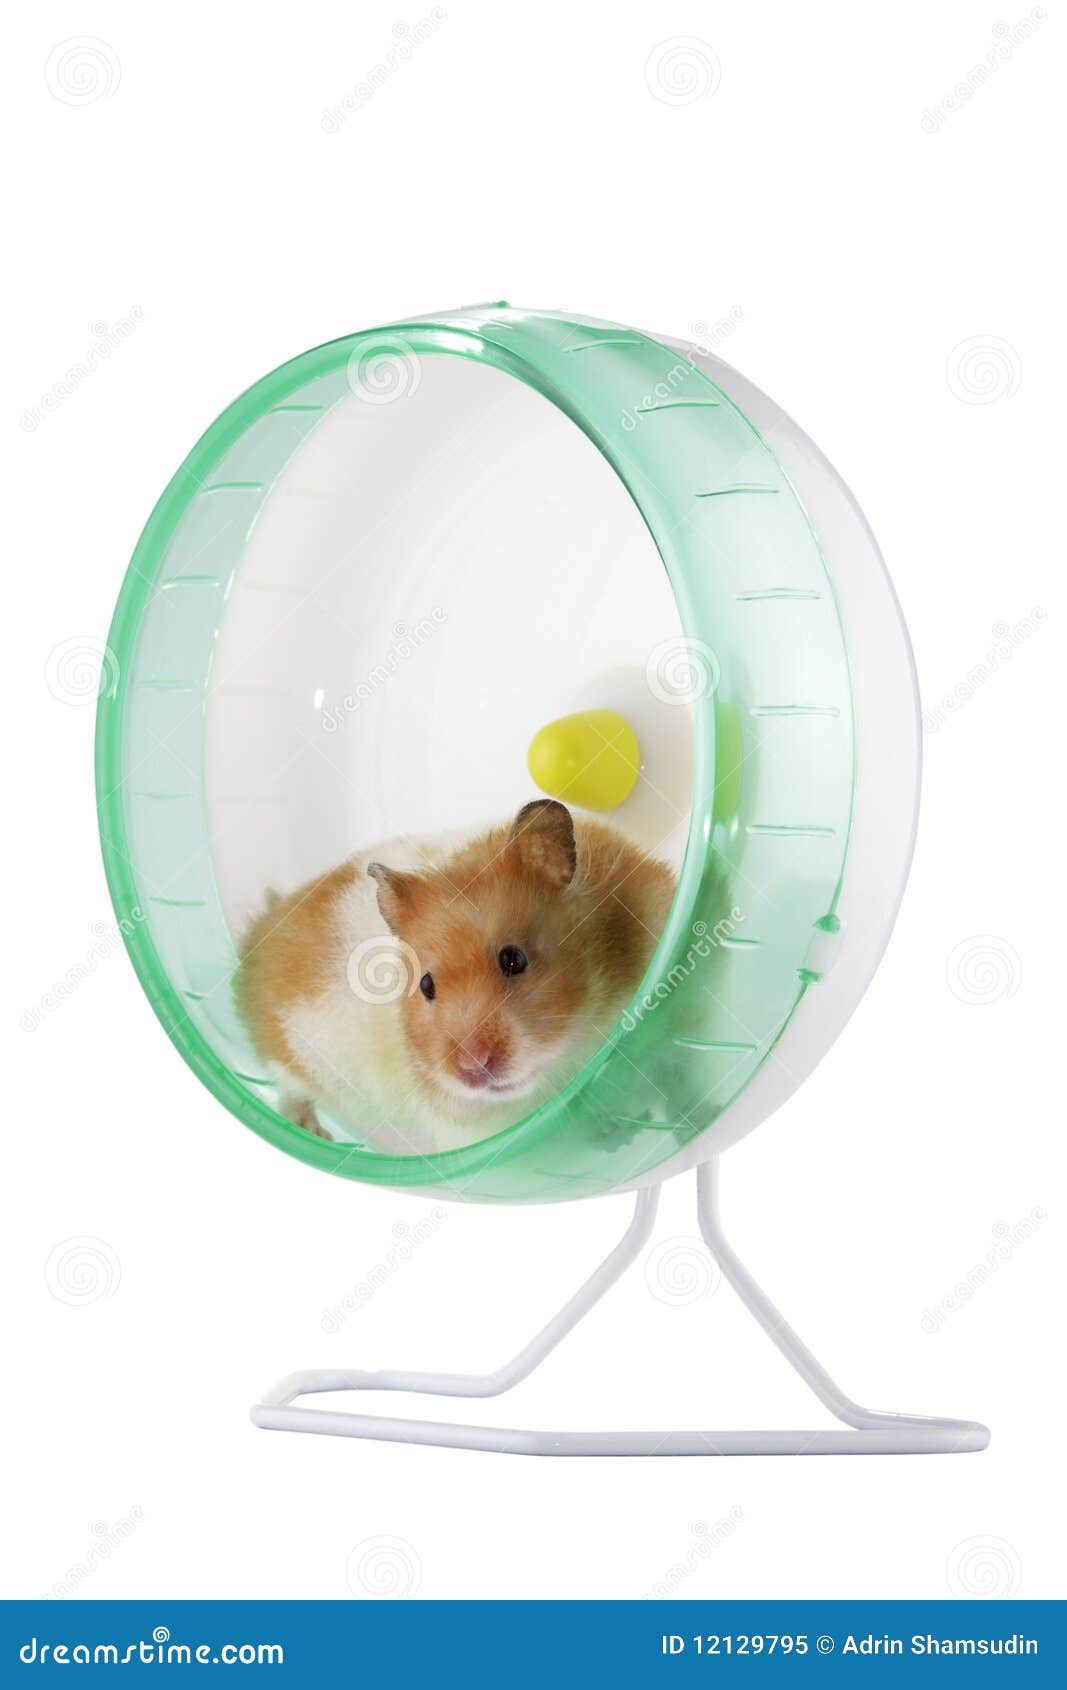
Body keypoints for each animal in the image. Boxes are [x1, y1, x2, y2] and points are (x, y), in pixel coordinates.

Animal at [235, 800, 676, 1154]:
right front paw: (619, 1134)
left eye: (513, 959)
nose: (473, 1067)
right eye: (426, 986)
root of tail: (257, 935)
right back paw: (313, 1132)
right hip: (290, 1056)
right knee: (290, 1090)